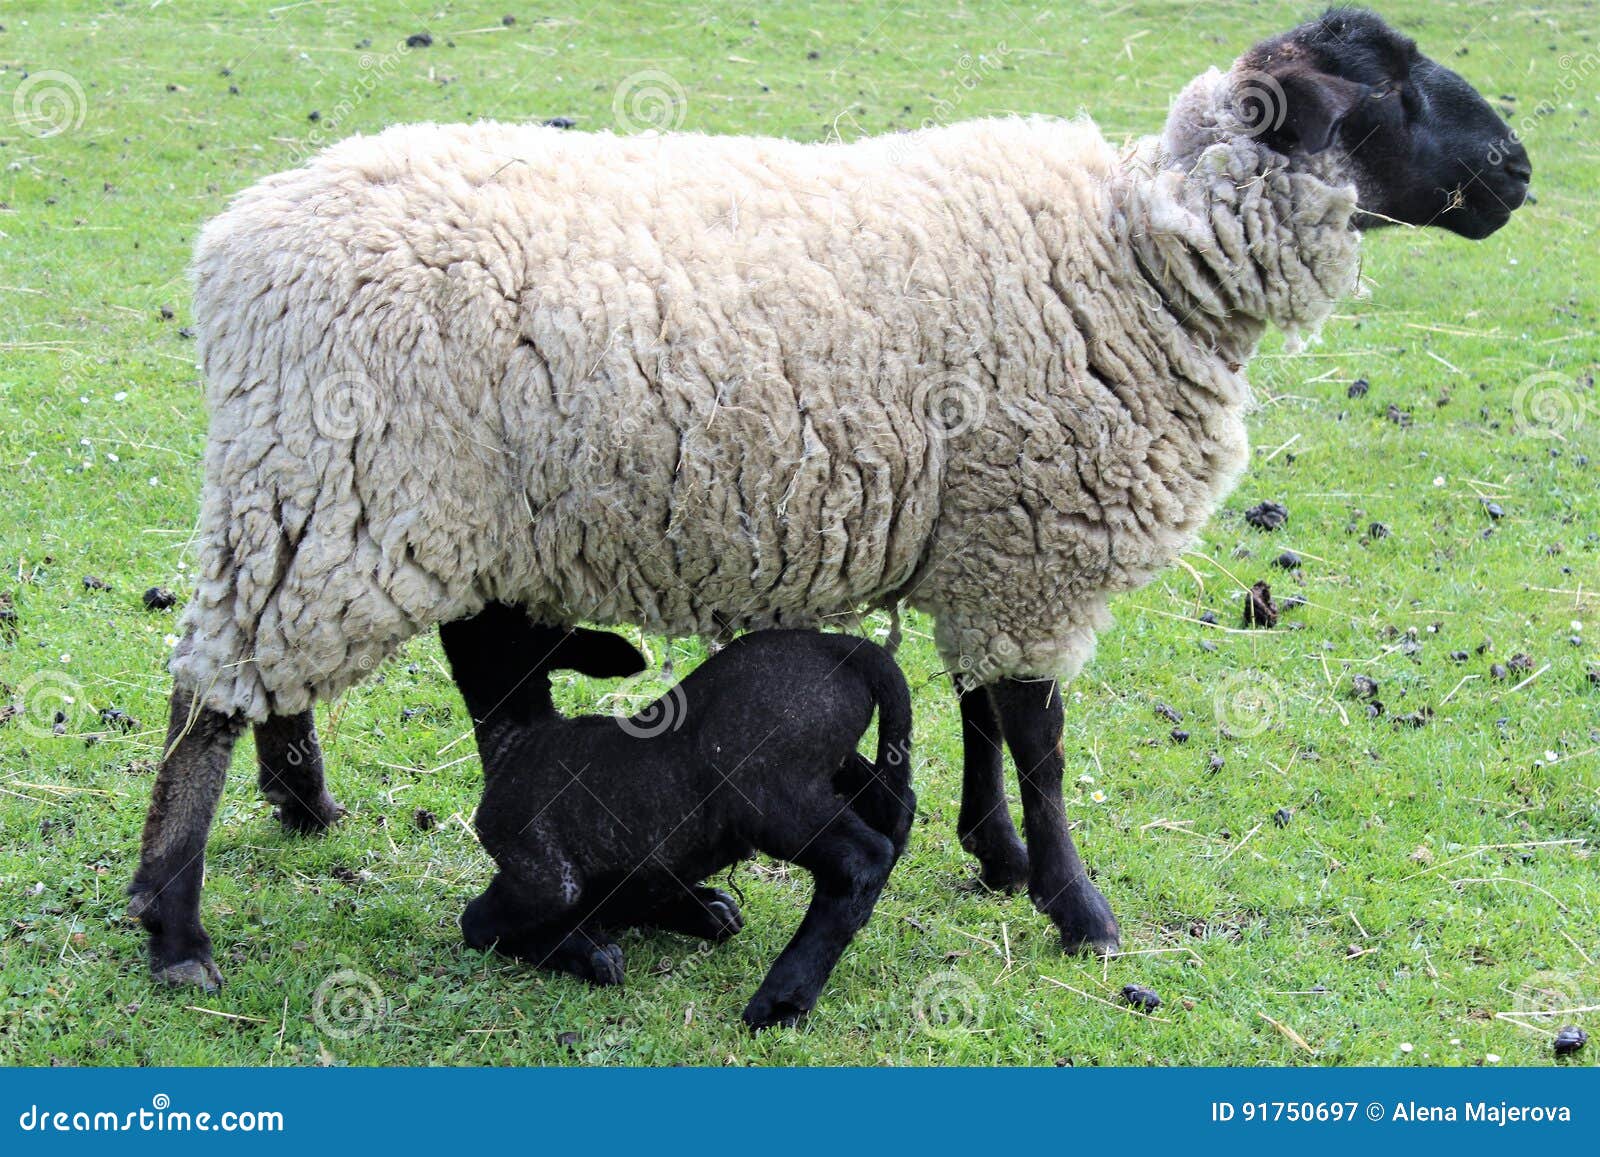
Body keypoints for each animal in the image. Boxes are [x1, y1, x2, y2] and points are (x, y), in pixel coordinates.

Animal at [439, 606, 915, 1029]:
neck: (517, 738)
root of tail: (847, 648)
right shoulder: (632, 871)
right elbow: (638, 898)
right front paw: (704, 911)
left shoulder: (542, 874)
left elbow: (478, 923)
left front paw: (583, 953)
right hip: (837, 767)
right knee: (898, 808)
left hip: (769, 789)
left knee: (863, 857)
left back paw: (781, 1000)